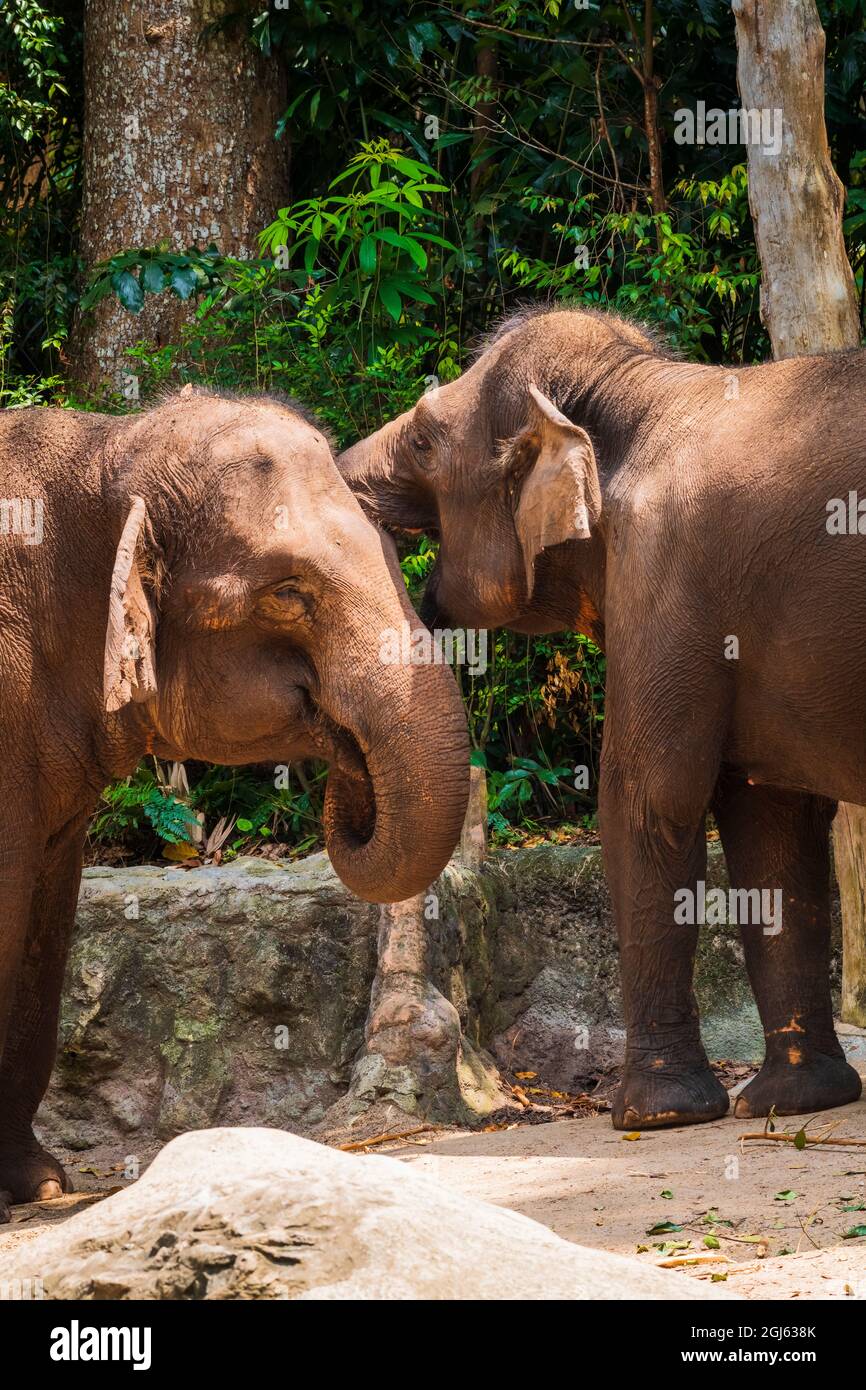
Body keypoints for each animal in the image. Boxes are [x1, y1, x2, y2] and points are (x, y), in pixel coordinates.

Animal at [340, 305, 866, 1130]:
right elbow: (771, 819)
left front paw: (655, 1116)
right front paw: (797, 1099)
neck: (640, 387)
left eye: (423, 439)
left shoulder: (666, 576)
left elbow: (648, 799)